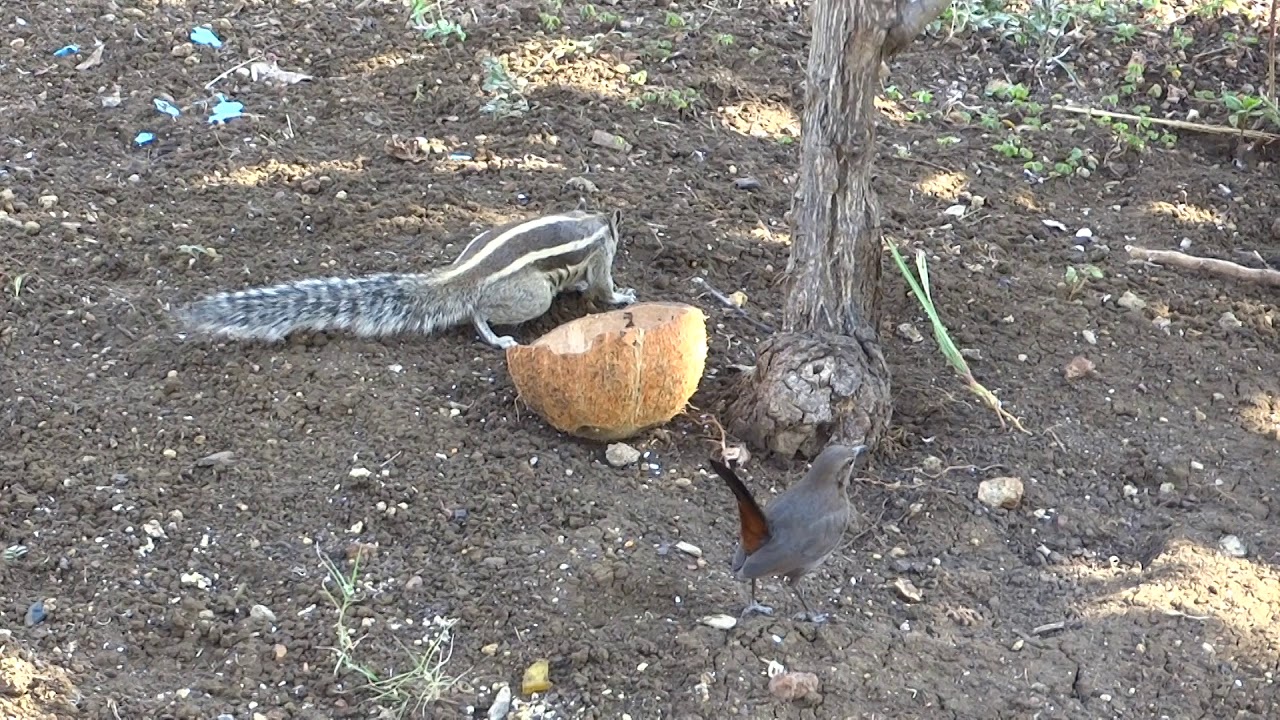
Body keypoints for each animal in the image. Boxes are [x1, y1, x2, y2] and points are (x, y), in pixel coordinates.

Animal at [175, 208, 638, 350]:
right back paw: (497, 337)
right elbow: (602, 285)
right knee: (479, 311)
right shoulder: (601, 254)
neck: (595, 219)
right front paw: (621, 295)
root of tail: (464, 273)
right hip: (531, 297)